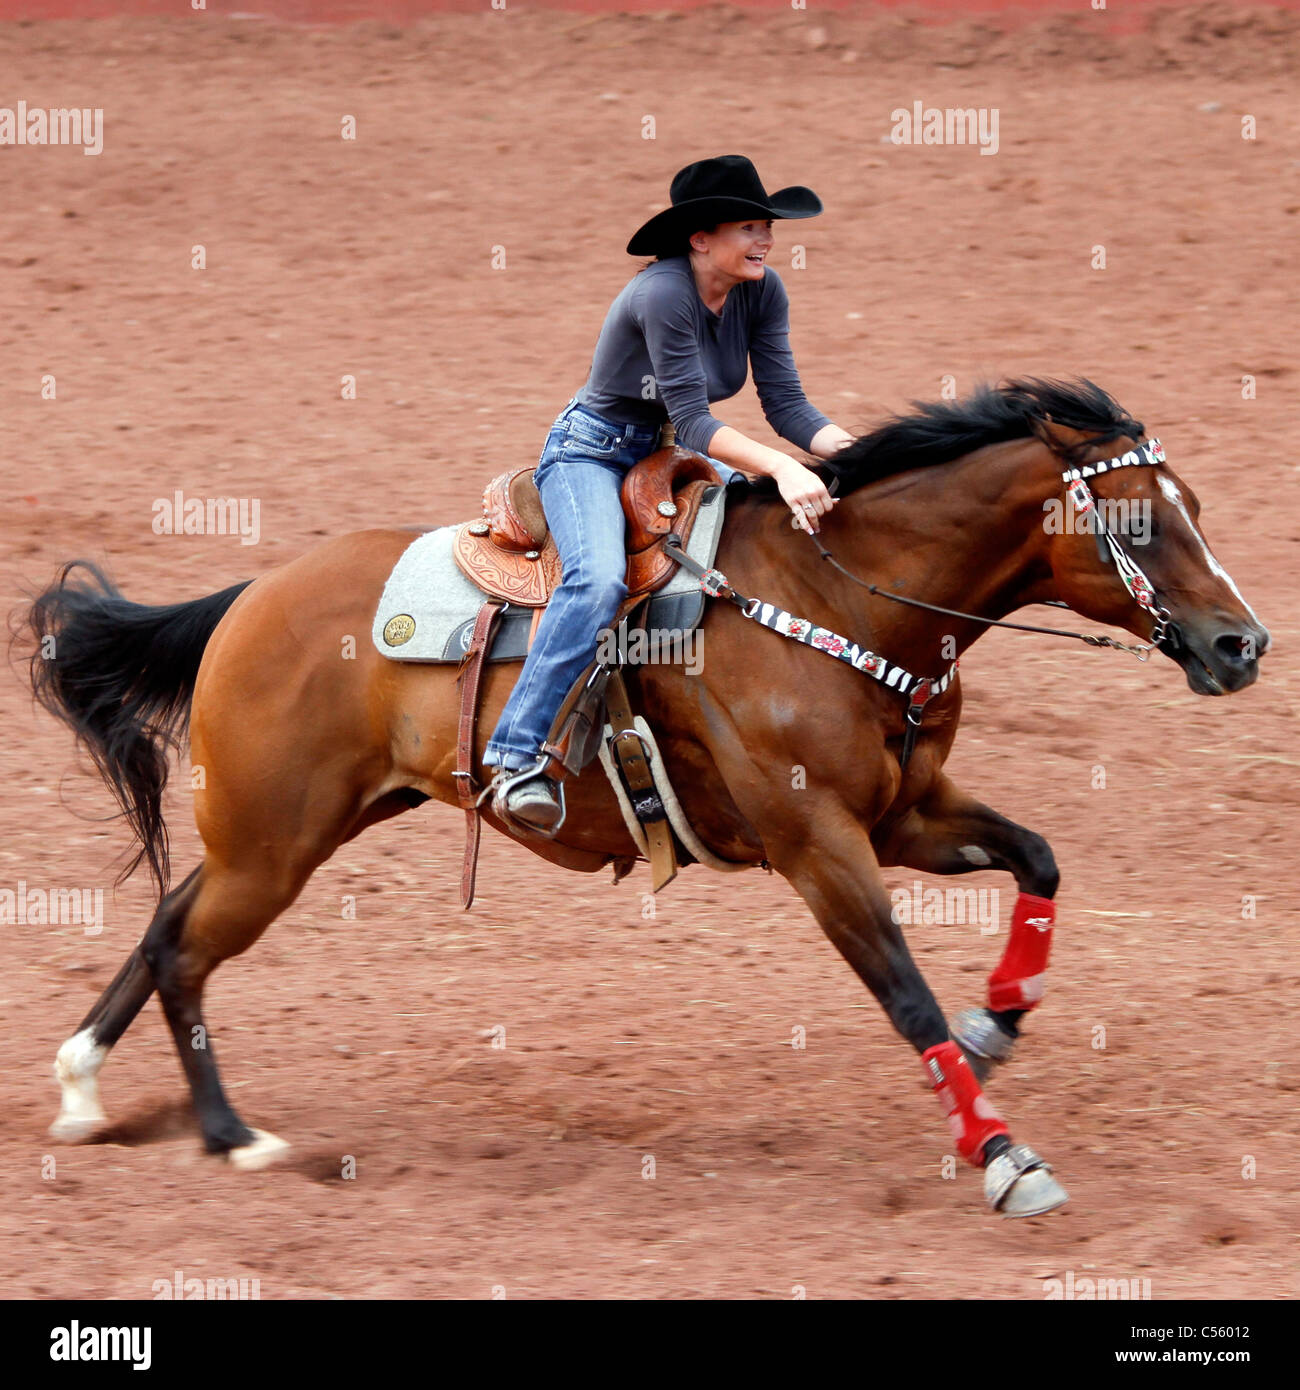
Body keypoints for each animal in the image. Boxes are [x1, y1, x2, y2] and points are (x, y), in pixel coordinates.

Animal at [23, 378, 1268, 1217]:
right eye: (1142, 521)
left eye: (1199, 504)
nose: (1242, 643)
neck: (837, 601)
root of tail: (247, 597)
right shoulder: (818, 845)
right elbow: (904, 994)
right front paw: (1006, 1157)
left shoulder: (907, 815)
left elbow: (1038, 858)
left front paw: (995, 1022)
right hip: (273, 844)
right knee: (187, 949)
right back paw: (230, 1135)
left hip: (292, 828)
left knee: (165, 923)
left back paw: (84, 1089)